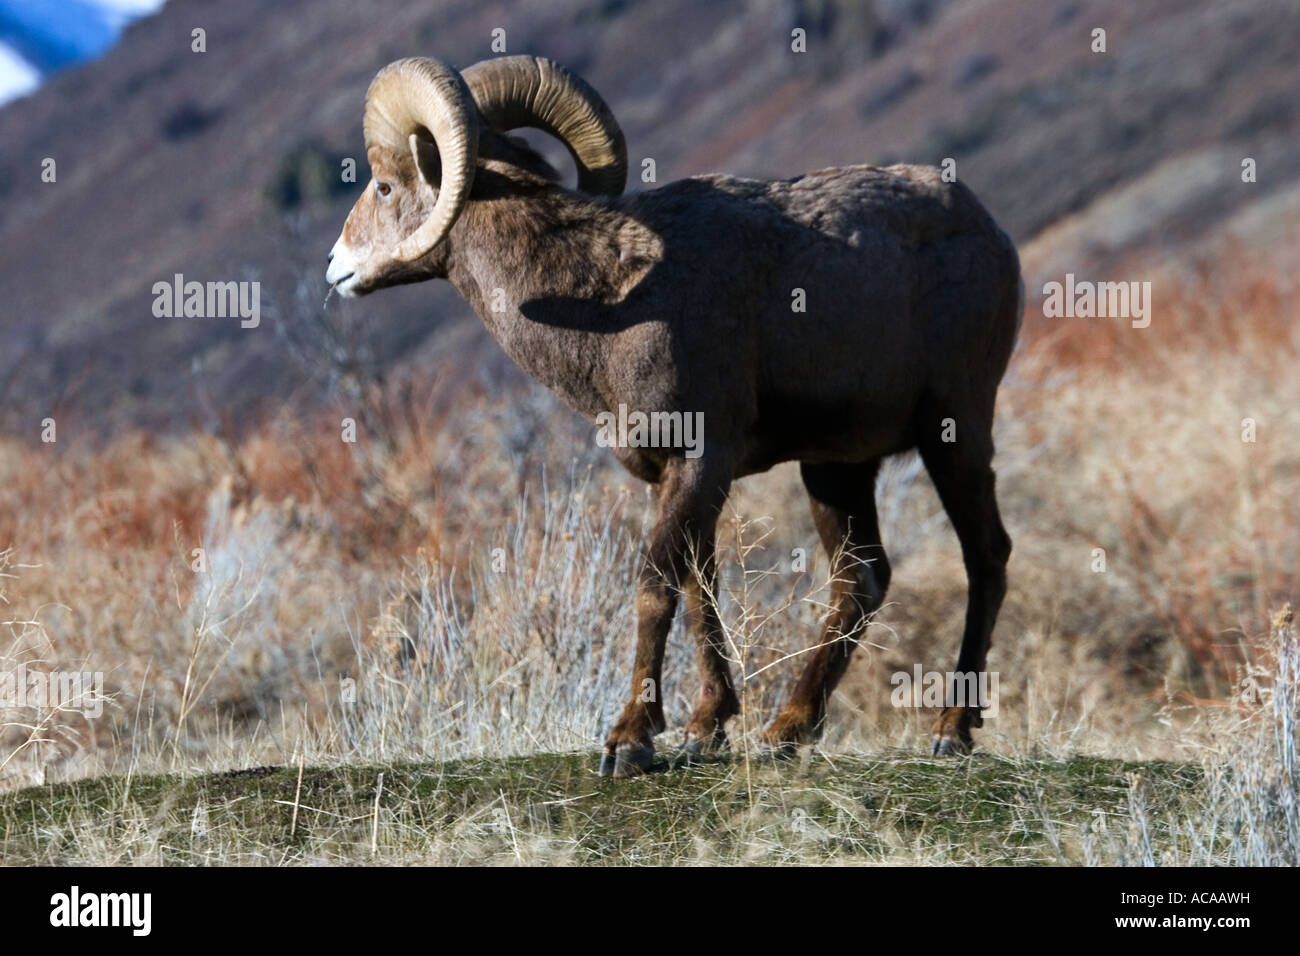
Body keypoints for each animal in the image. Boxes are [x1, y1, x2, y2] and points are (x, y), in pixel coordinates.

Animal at [326, 55, 1023, 777]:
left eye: (384, 185)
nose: (335, 267)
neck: (617, 295)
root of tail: (990, 235)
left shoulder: (699, 462)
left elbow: (656, 587)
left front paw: (630, 740)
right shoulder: (673, 478)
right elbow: (698, 591)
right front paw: (705, 728)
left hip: (954, 436)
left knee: (986, 556)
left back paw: (951, 730)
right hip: (835, 468)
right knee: (861, 578)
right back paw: (788, 729)